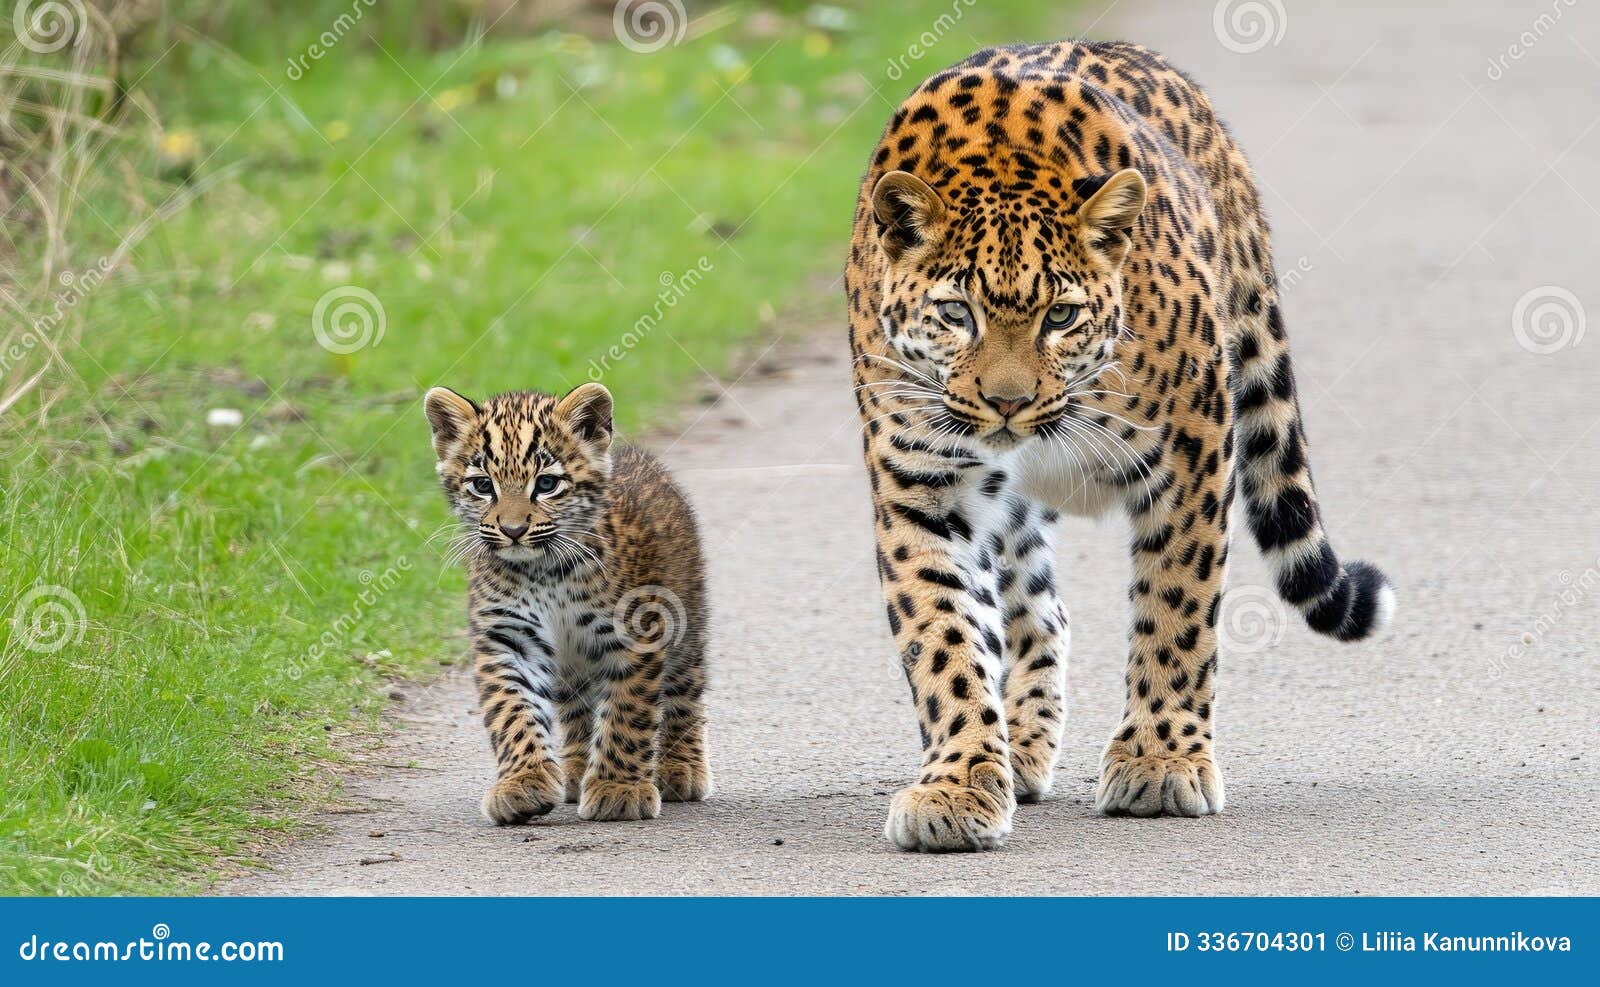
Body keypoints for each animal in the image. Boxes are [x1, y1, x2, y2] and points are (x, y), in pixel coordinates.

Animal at [423, 382, 711, 825]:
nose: (512, 530)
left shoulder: (635, 635)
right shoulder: (508, 638)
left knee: (684, 694)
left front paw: (618, 789)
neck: (543, 572)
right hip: (573, 666)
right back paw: (574, 769)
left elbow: (627, 713)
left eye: (546, 484)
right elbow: (512, 710)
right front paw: (523, 782)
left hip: (686, 622)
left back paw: (681, 768)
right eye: (483, 485)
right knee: (577, 710)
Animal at [844, 40, 1396, 851]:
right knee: (1041, 611)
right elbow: (943, 640)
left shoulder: (1193, 446)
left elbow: (1176, 603)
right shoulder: (922, 486)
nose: (1006, 402)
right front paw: (958, 783)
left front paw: (1161, 759)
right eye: (955, 313)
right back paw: (1019, 747)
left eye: (1061, 316)